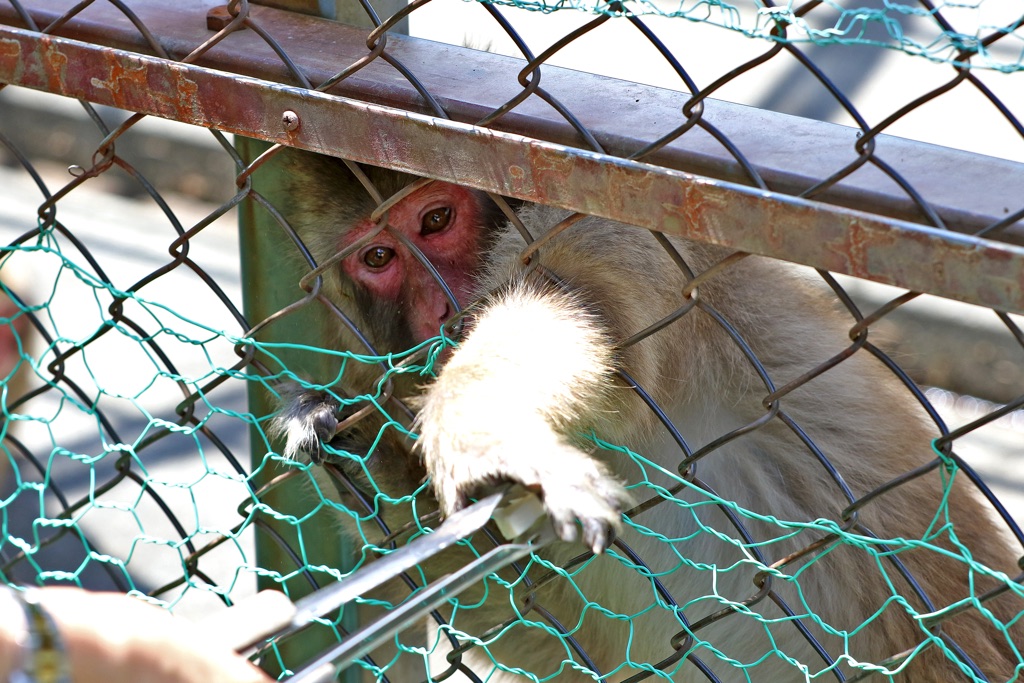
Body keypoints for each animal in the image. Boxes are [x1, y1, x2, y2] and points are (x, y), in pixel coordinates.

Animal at [269, 149, 1024, 682]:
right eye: (378, 257)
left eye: (435, 220)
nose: (438, 310)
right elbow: (563, 638)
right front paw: (358, 460)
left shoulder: (596, 228)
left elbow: (576, 311)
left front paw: (485, 432)